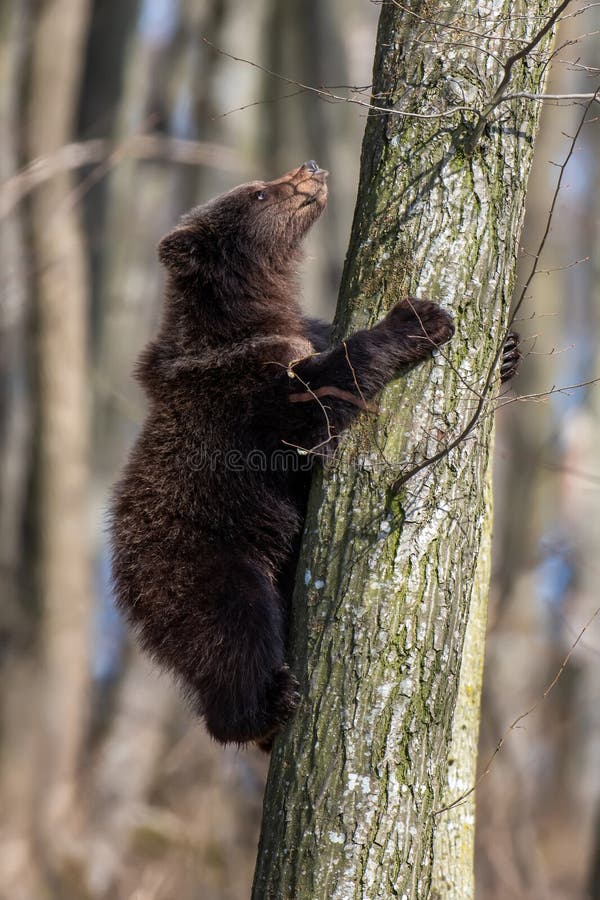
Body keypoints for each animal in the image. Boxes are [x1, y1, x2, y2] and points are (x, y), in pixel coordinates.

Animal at [109, 160, 515, 750]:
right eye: (258, 193)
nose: (310, 169)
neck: (255, 316)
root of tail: (122, 585)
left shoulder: (293, 338)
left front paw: (506, 351)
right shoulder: (238, 397)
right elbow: (318, 396)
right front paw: (417, 320)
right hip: (201, 556)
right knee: (233, 625)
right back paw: (263, 708)